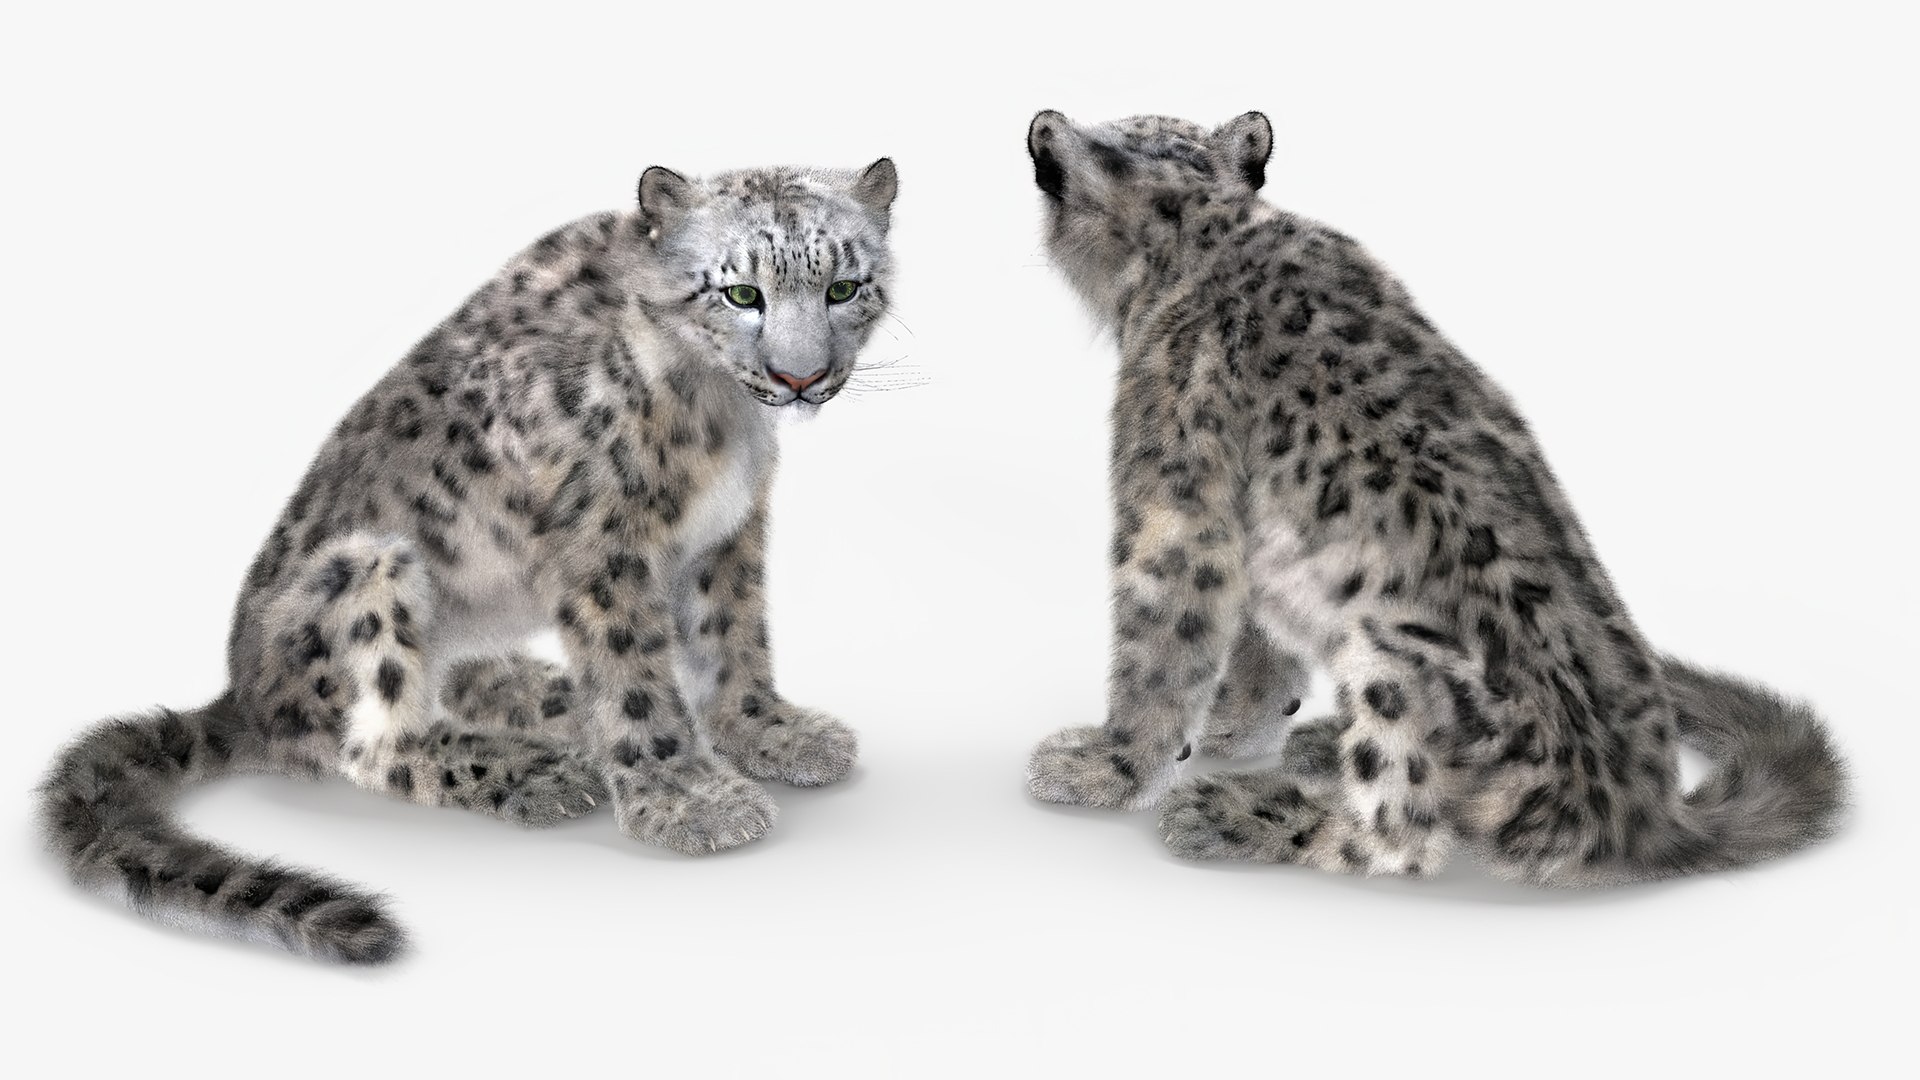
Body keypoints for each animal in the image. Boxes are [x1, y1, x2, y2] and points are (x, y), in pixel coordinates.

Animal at [37, 156, 900, 962]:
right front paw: (689, 796)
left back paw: (548, 698)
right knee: (368, 742)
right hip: (372, 568)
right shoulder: (603, 545)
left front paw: (770, 731)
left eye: (844, 286)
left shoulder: (729, 530)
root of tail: (241, 690)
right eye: (741, 294)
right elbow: (633, 673)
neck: (721, 420)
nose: (801, 377)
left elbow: (733, 636)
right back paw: (535, 768)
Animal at [1021, 109, 1847, 886]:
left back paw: (1237, 814)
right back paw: (1312, 744)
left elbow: (1159, 647)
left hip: (1387, 656)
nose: (1041, 140)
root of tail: (1649, 812)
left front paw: (1107, 766)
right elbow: (1258, 638)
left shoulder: (1176, 502)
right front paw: (1237, 720)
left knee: (1401, 835)